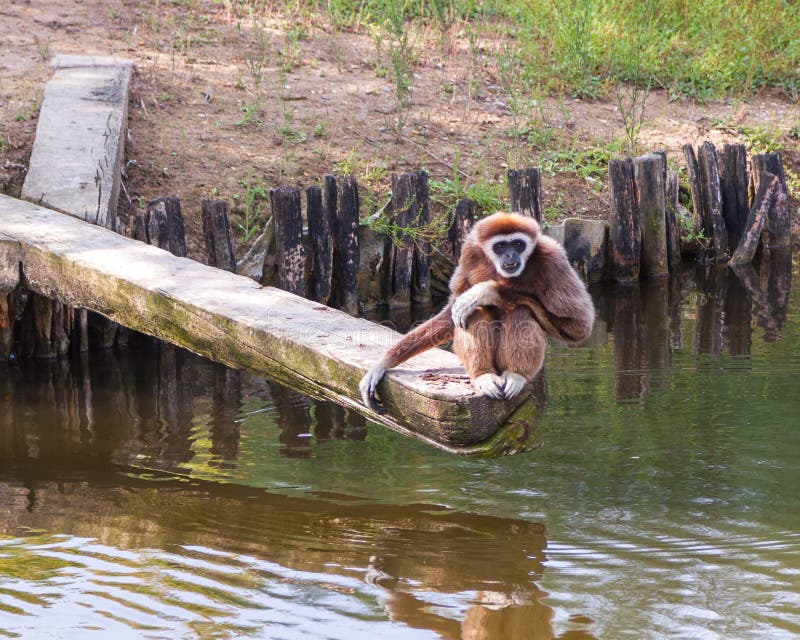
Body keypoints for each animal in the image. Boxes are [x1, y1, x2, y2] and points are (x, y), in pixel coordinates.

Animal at [359, 212, 595, 414]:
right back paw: (483, 376)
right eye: (500, 246)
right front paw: (383, 363)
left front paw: (485, 291)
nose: (511, 254)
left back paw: (515, 374)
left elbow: (579, 325)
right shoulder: (469, 252)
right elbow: (451, 312)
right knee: (474, 313)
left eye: (518, 244)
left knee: (521, 310)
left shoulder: (554, 258)